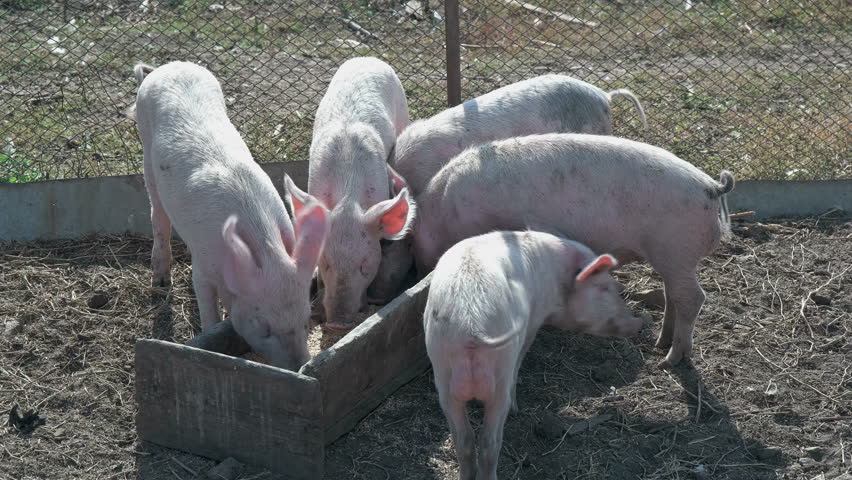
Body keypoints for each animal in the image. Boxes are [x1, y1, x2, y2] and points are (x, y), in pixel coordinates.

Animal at [130, 61, 329, 371]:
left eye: (306, 319)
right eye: (264, 327)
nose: (300, 366)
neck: (264, 250)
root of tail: (167, 66)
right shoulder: (203, 268)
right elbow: (208, 310)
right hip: (145, 142)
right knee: (158, 214)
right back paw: (161, 282)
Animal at [413, 133, 735, 367]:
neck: (444, 210)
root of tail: (711, 187)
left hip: (676, 250)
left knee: (692, 298)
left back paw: (670, 361)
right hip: (670, 258)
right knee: (673, 296)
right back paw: (661, 343)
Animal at [425, 230, 641, 480]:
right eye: (605, 287)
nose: (640, 323)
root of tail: (471, 323)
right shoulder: (533, 321)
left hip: (444, 375)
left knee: (464, 440)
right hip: (499, 376)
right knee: (489, 441)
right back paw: (512, 414)